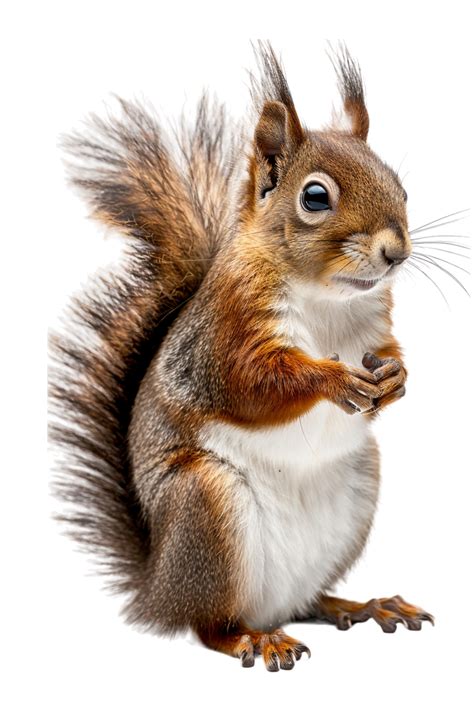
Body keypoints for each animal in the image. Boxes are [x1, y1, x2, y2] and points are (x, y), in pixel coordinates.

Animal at [50, 43, 434, 672]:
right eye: (315, 197)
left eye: (400, 187)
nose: (396, 252)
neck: (327, 298)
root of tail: (157, 587)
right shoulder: (223, 338)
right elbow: (252, 385)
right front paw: (330, 379)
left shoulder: (374, 328)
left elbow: (387, 356)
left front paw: (399, 377)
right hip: (206, 507)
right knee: (210, 625)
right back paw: (254, 640)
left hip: (355, 494)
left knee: (307, 602)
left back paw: (361, 604)